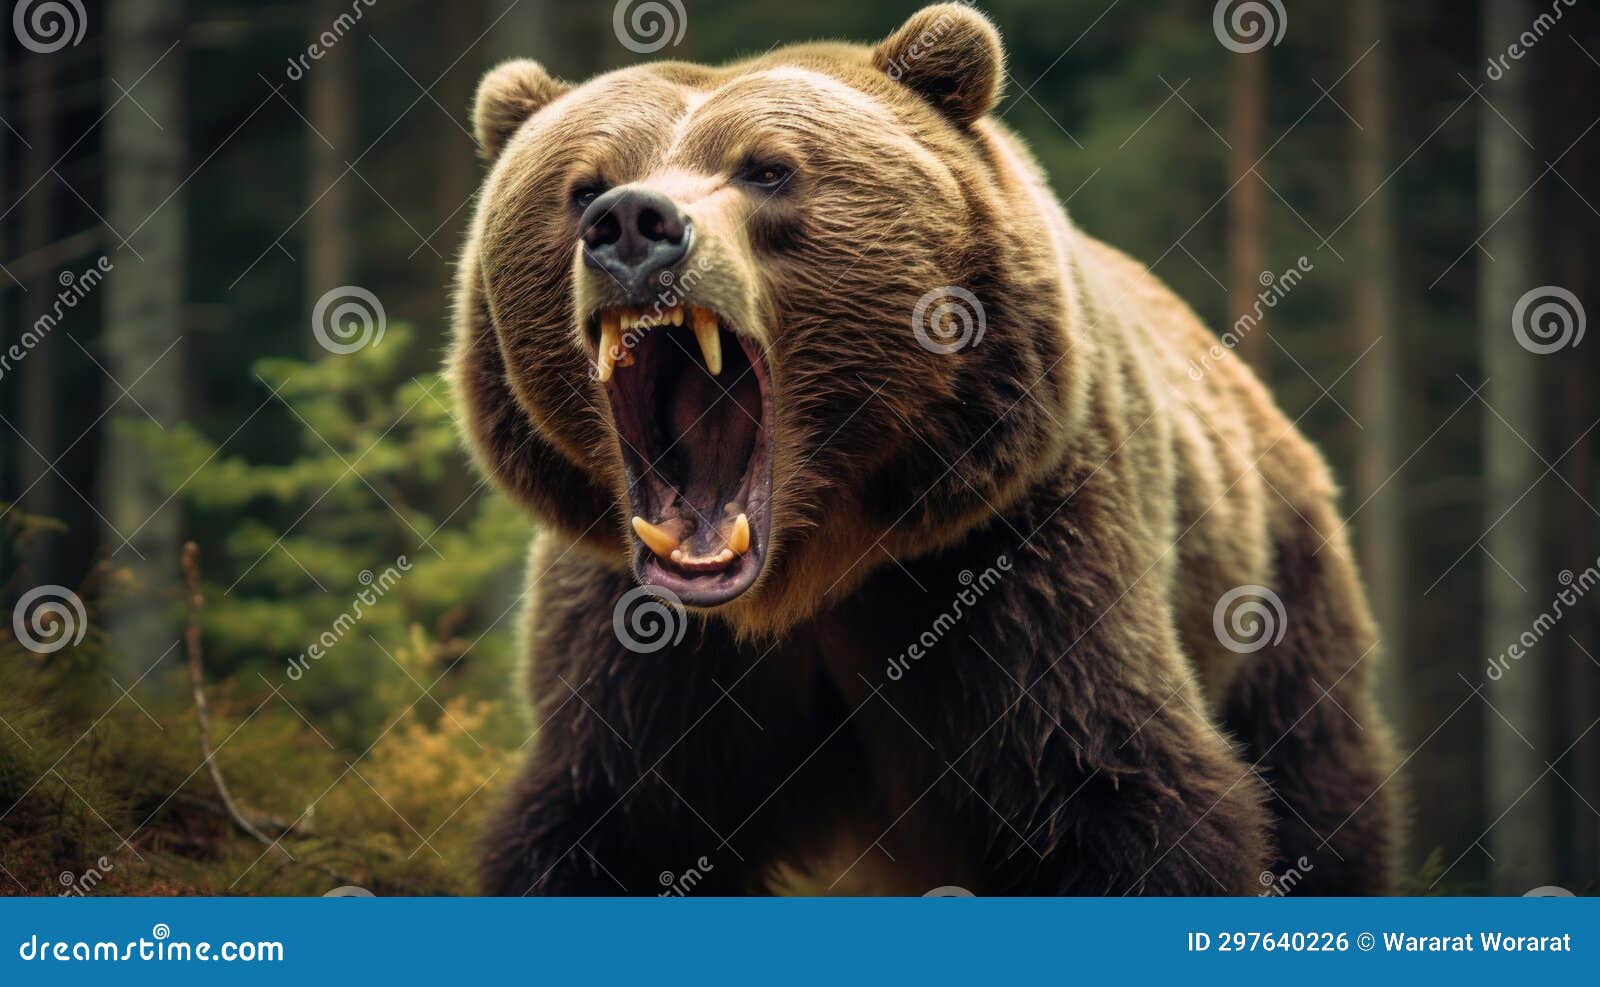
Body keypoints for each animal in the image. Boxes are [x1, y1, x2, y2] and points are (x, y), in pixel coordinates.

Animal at [450, 4, 1399, 895]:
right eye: (584, 186)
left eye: (768, 168)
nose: (633, 223)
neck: (808, 577)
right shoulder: (642, 651)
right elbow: (610, 825)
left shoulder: (1012, 559)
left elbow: (1122, 790)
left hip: (1276, 596)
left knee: (1320, 792)